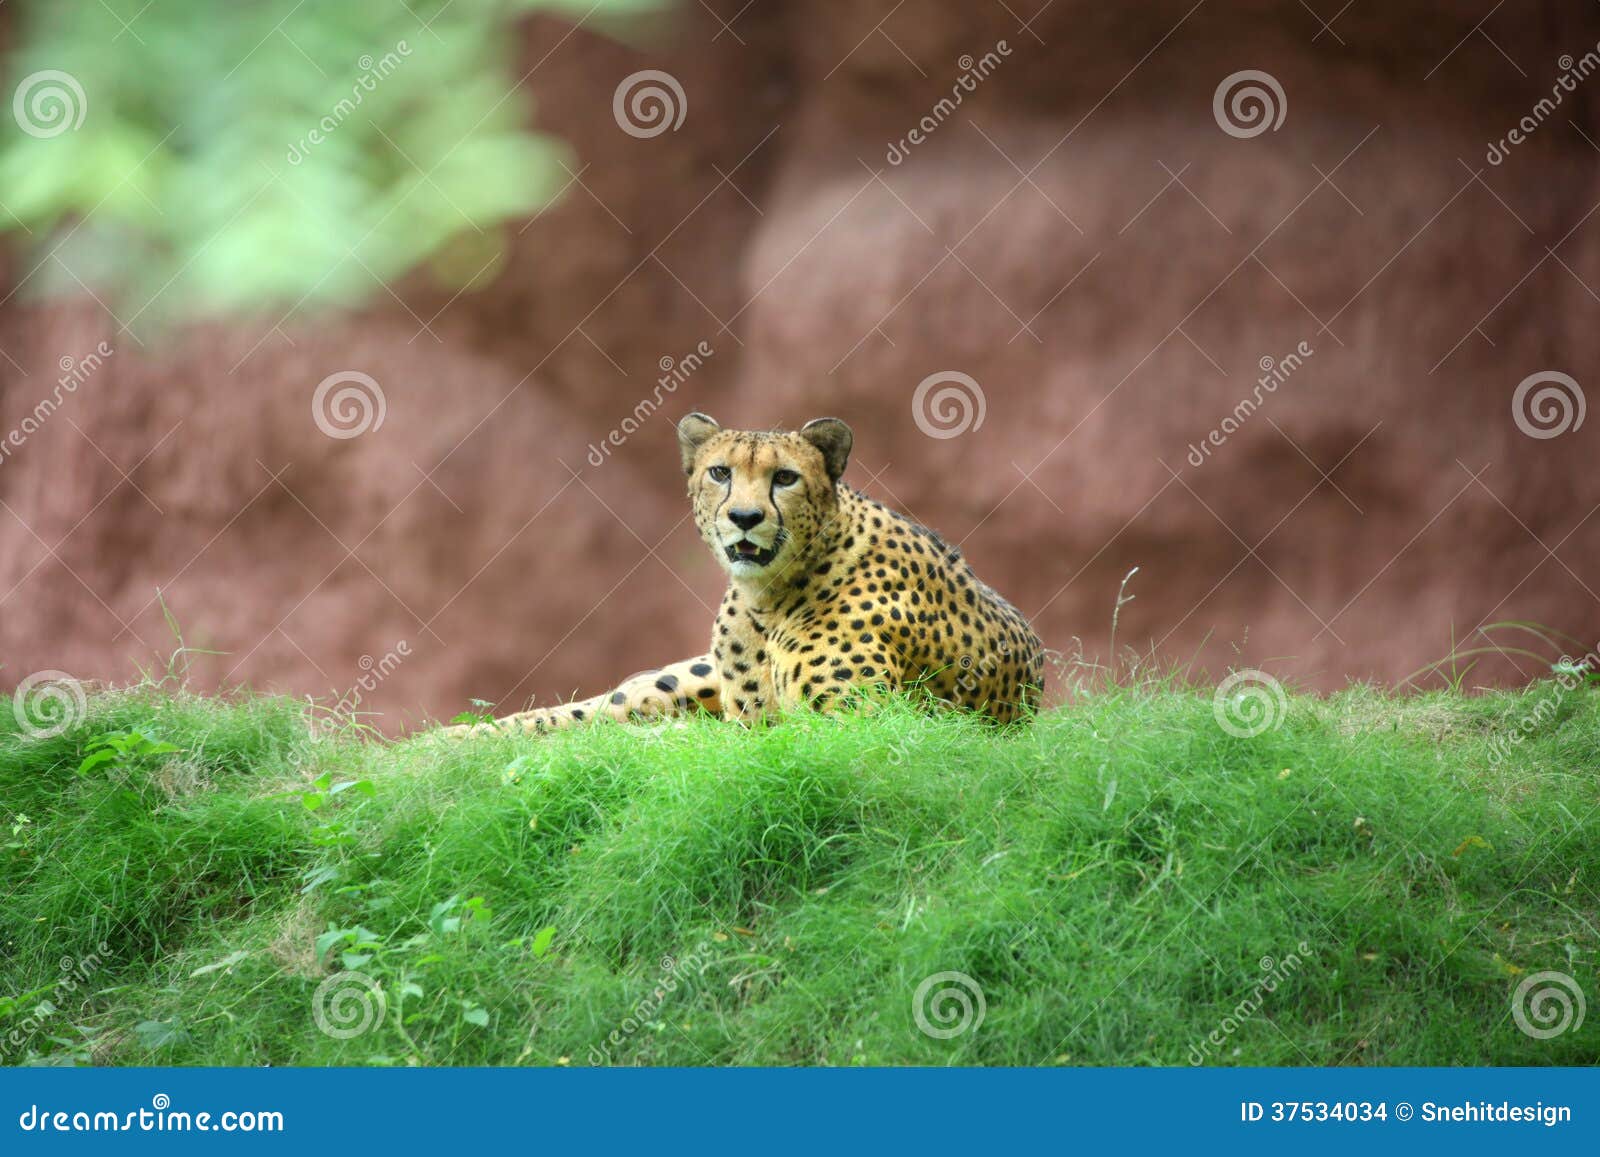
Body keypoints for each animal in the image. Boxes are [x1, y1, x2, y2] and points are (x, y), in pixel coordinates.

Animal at [440, 413, 1043, 736]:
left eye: (785, 478)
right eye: (720, 472)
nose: (746, 518)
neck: (769, 598)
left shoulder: (858, 722)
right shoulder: (754, 714)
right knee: (598, 707)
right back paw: (445, 743)